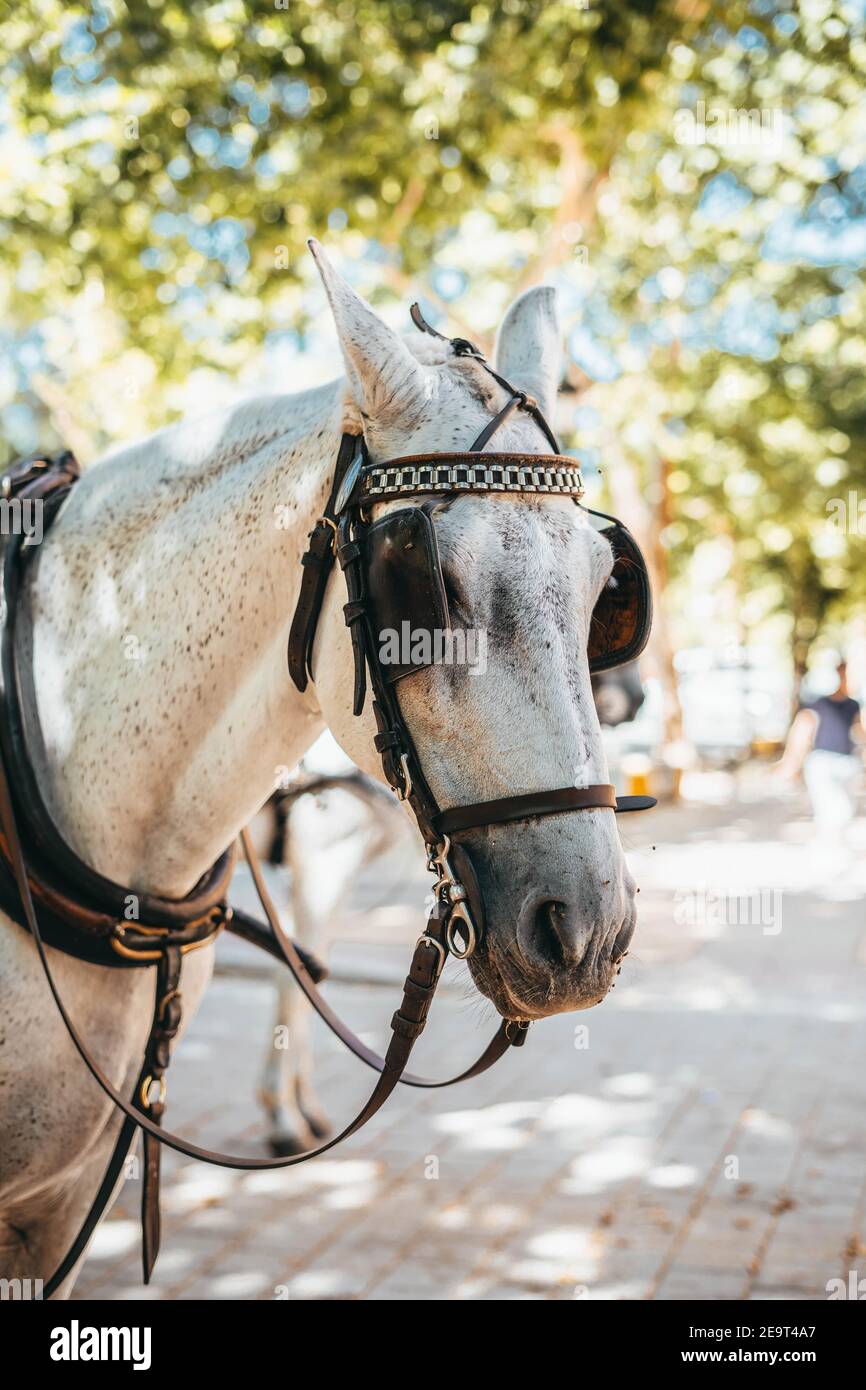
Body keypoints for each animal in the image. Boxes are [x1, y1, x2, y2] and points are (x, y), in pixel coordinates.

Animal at [0, 241, 640, 1296]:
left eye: (605, 586)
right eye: (421, 577)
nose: (585, 931)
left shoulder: (59, 1199)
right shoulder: (325, 852)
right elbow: (305, 958)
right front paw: (284, 1110)